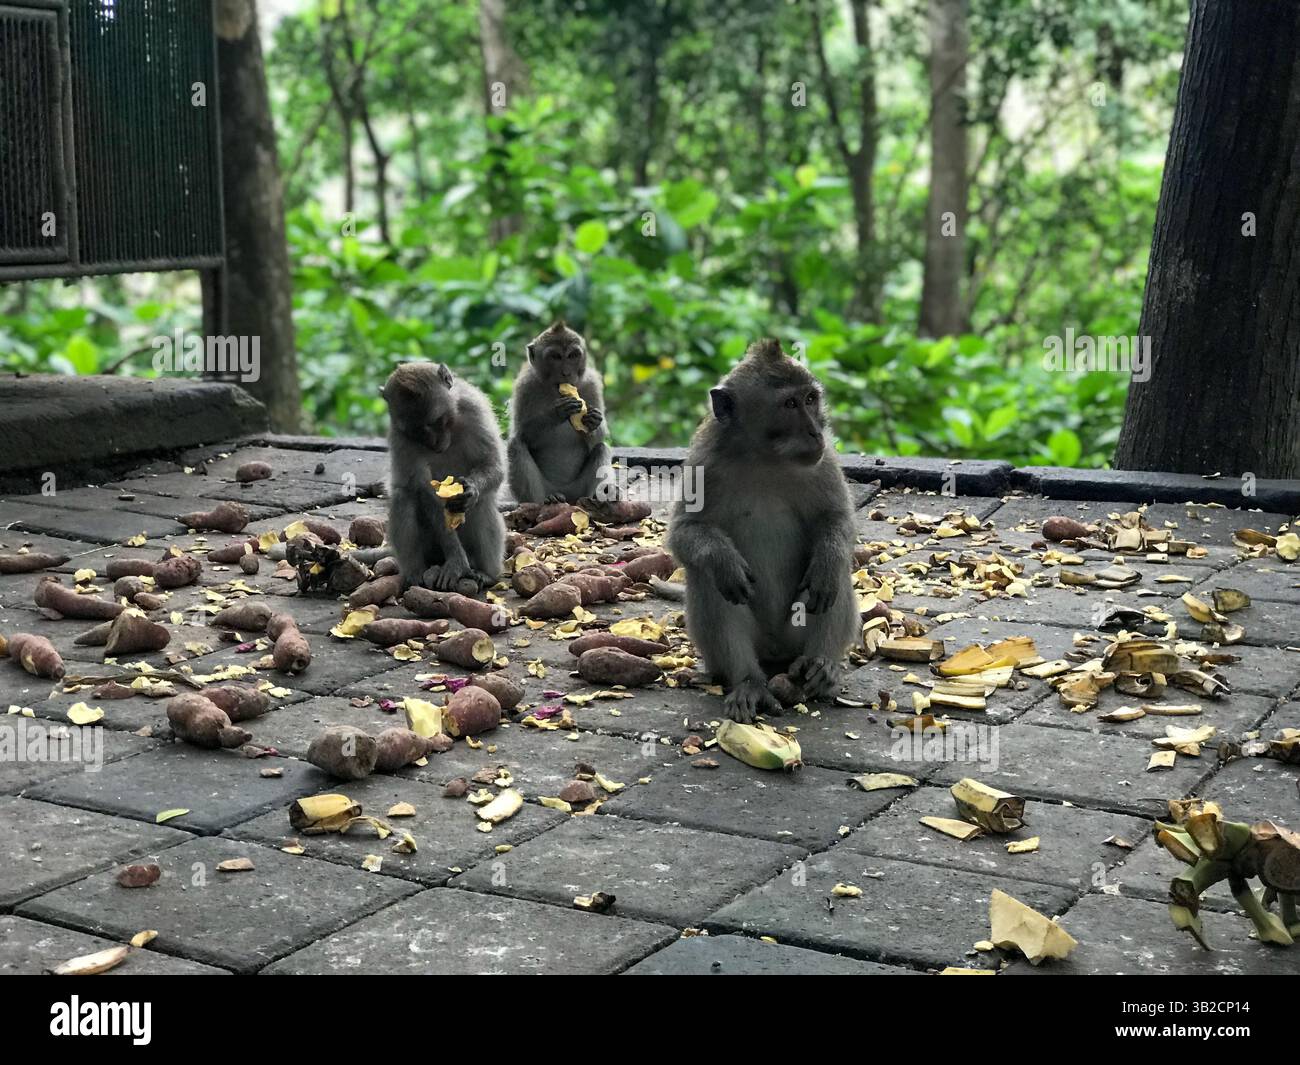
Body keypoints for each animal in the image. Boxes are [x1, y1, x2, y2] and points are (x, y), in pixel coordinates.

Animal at [382, 361, 506, 593]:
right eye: (416, 432)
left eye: (436, 421)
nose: (434, 444)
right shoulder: (399, 434)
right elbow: (423, 489)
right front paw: (456, 562)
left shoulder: (474, 408)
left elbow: (492, 464)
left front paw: (471, 490)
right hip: (431, 549)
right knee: (404, 497)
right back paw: (416, 574)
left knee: (483, 504)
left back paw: (486, 574)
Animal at [507, 321, 612, 504]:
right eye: (555, 357)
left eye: (572, 356)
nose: (566, 373)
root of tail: (567, 496)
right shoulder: (524, 385)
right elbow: (521, 433)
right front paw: (558, 412)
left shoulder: (591, 383)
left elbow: (596, 440)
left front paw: (593, 420)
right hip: (546, 488)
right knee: (515, 445)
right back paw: (545, 500)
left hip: (578, 491)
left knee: (601, 449)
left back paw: (596, 498)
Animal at [666, 339, 859, 723]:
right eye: (790, 405)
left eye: (811, 399)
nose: (815, 431)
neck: (765, 456)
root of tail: (774, 653)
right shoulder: (704, 461)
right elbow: (684, 531)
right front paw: (723, 561)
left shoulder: (825, 459)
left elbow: (836, 519)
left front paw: (827, 561)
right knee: (709, 579)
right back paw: (749, 683)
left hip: (795, 636)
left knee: (833, 578)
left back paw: (822, 667)